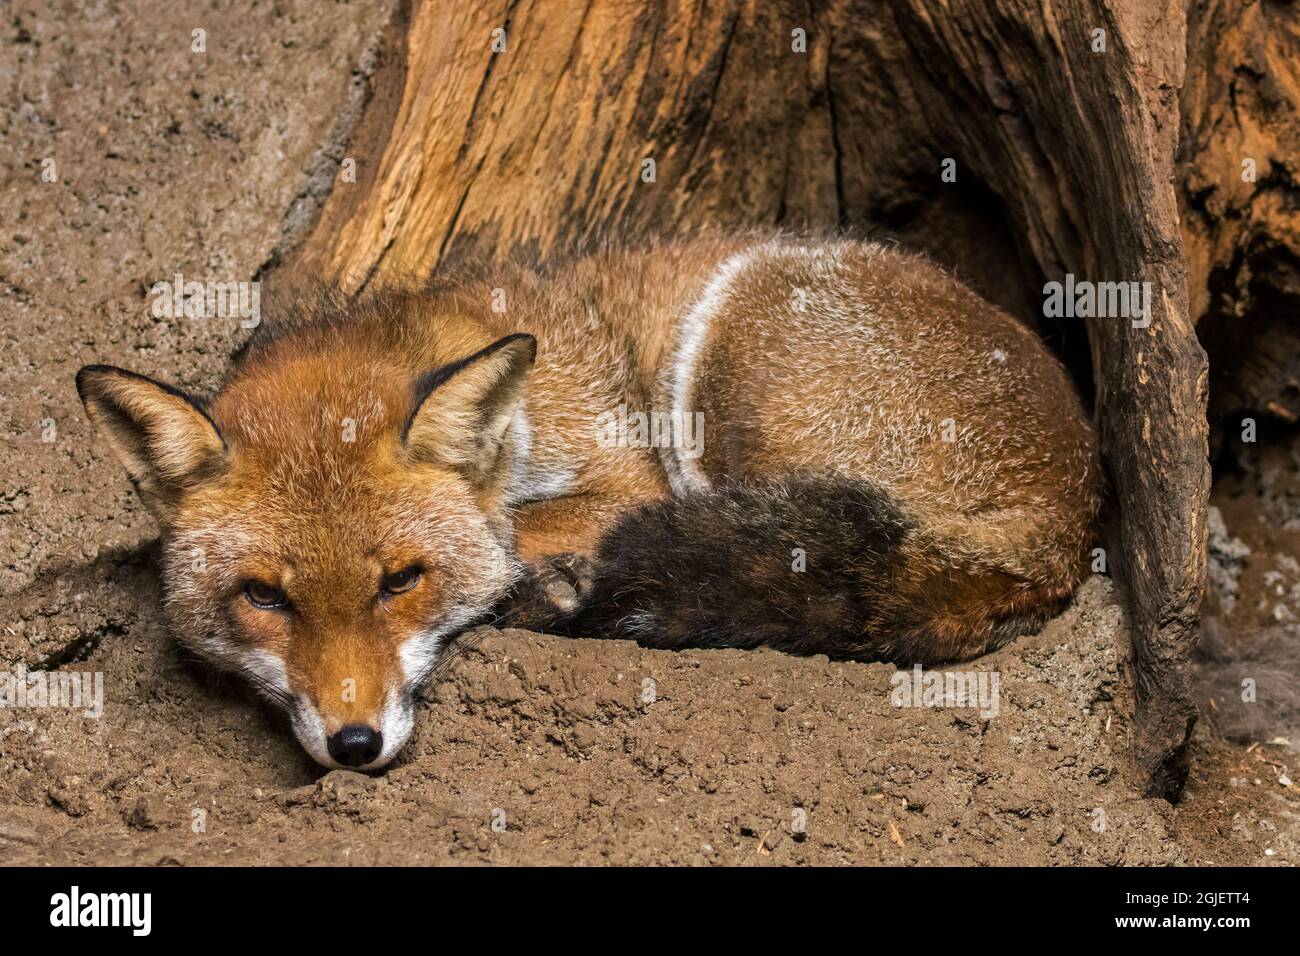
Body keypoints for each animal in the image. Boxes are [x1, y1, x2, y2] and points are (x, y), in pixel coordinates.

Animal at [76, 234, 1101, 770]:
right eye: (265, 598)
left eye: (401, 582)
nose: (355, 742)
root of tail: (1076, 508)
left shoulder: (627, 477)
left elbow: (506, 532)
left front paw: (524, 578)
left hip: (730, 353)